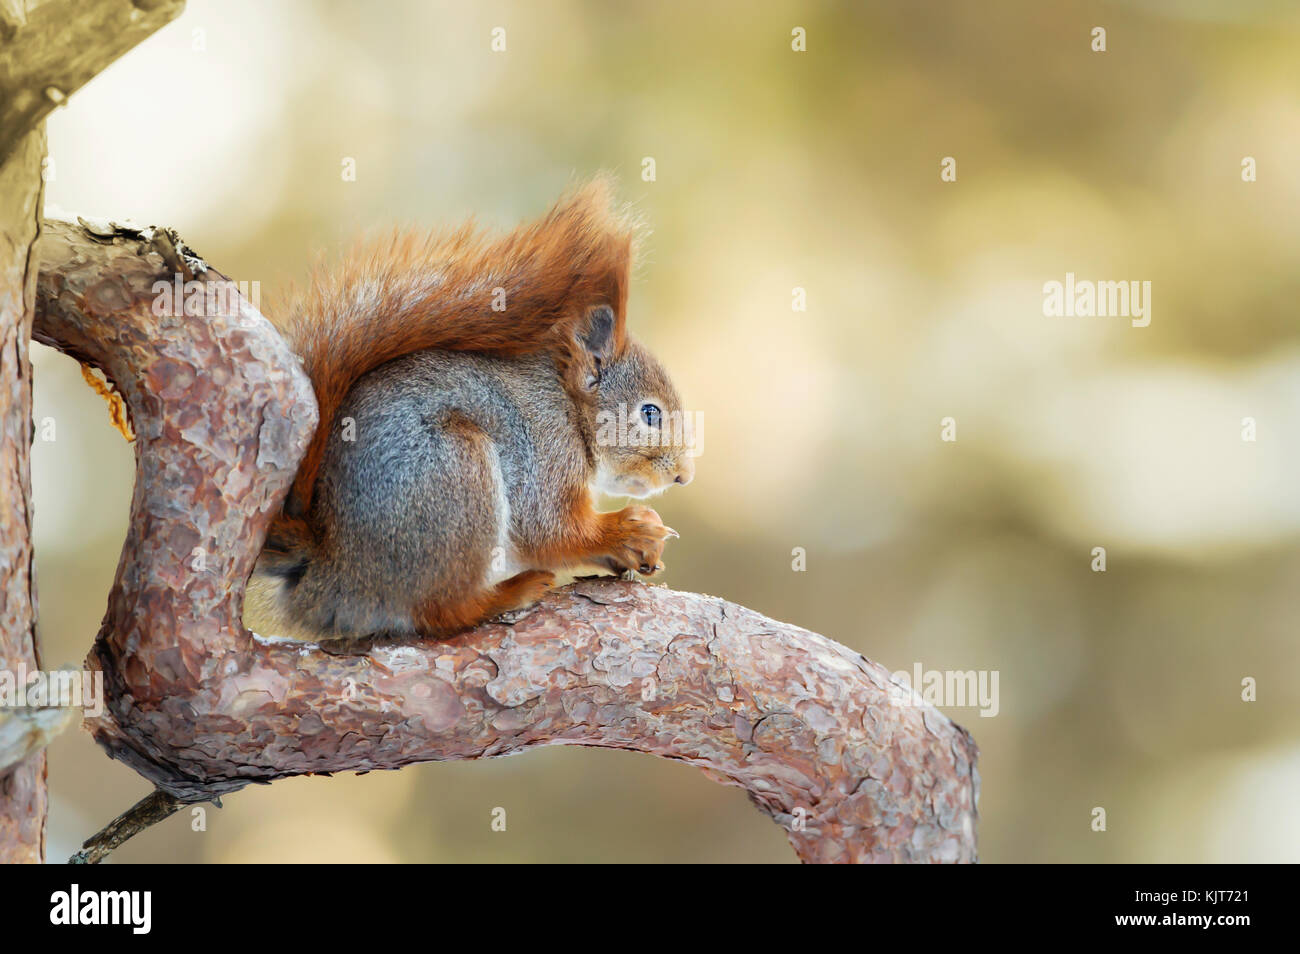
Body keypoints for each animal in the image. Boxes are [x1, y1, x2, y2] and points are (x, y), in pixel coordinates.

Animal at [243, 177, 695, 644]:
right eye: (649, 414)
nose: (683, 476)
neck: (570, 409)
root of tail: (330, 568)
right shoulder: (544, 448)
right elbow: (550, 530)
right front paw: (629, 530)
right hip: (454, 476)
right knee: (441, 610)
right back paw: (509, 593)